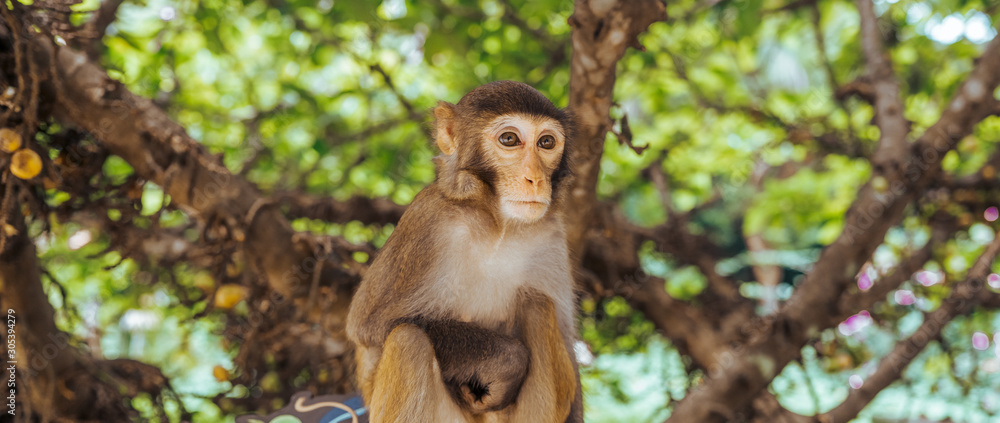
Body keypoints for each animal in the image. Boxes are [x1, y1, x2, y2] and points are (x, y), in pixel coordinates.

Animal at [346, 80, 582, 423]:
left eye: (546, 142)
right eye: (509, 139)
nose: (536, 179)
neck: (498, 225)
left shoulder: (551, 235)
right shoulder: (428, 221)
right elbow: (369, 326)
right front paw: (507, 362)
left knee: (538, 303)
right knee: (408, 340)